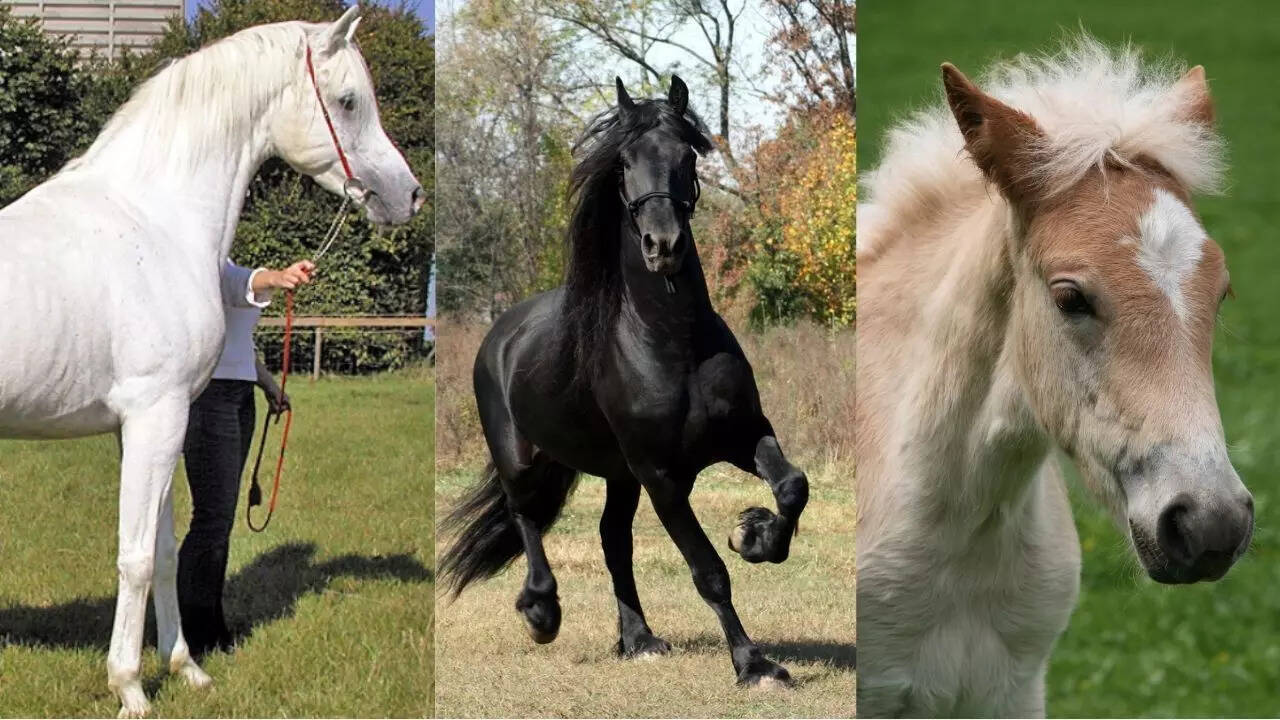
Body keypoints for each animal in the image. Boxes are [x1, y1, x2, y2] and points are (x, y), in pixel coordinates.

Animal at [0, 7, 421, 716]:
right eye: (348, 101)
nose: (408, 196)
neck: (155, 219)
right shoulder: (156, 415)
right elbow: (137, 557)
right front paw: (131, 687)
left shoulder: (149, 427)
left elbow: (167, 550)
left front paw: (185, 667)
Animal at [440, 76, 810, 689]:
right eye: (623, 164)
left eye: (687, 156)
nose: (663, 246)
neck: (673, 343)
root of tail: (502, 332)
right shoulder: (661, 476)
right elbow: (708, 571)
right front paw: (754, 665)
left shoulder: (742, 435)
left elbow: (791, 487)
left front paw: (753, 534)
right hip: (525, 459)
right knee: (526, 515)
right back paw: (541, 611)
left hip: (618, 474)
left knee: (612, 540)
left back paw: (638, 640)